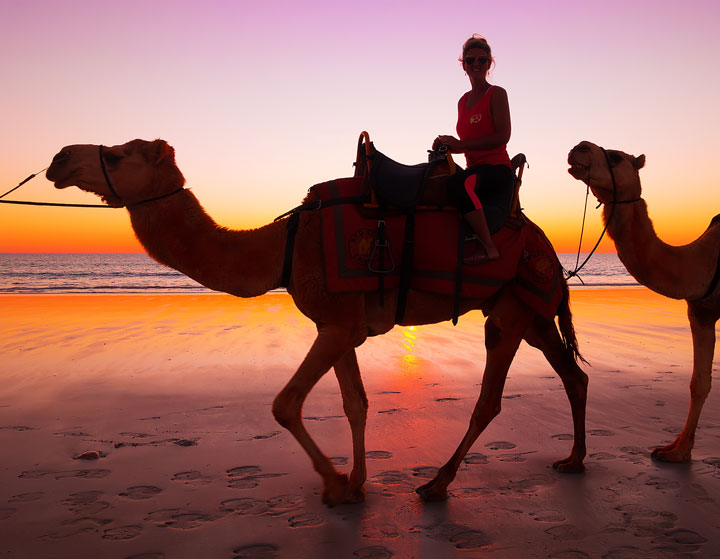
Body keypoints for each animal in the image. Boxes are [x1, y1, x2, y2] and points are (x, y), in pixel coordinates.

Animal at [46, 138, 588, 505]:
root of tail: (544, 243)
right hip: (529, 310)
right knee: (572, 374)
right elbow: (355, 404)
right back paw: (573, 459)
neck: (283, 248)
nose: (59, 158)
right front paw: (356, 483)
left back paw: (437, 483)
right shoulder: (339, 325)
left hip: (510, 312)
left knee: (489, 400)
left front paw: (333, 484)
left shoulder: (338, 326)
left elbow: (285, 404)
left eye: (119, 155)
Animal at [568, 140, 720, 462]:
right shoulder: (700, 312)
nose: (579, 147)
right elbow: (699, 382)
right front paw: (676, 451)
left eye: (616, 157)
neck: (707, 259)